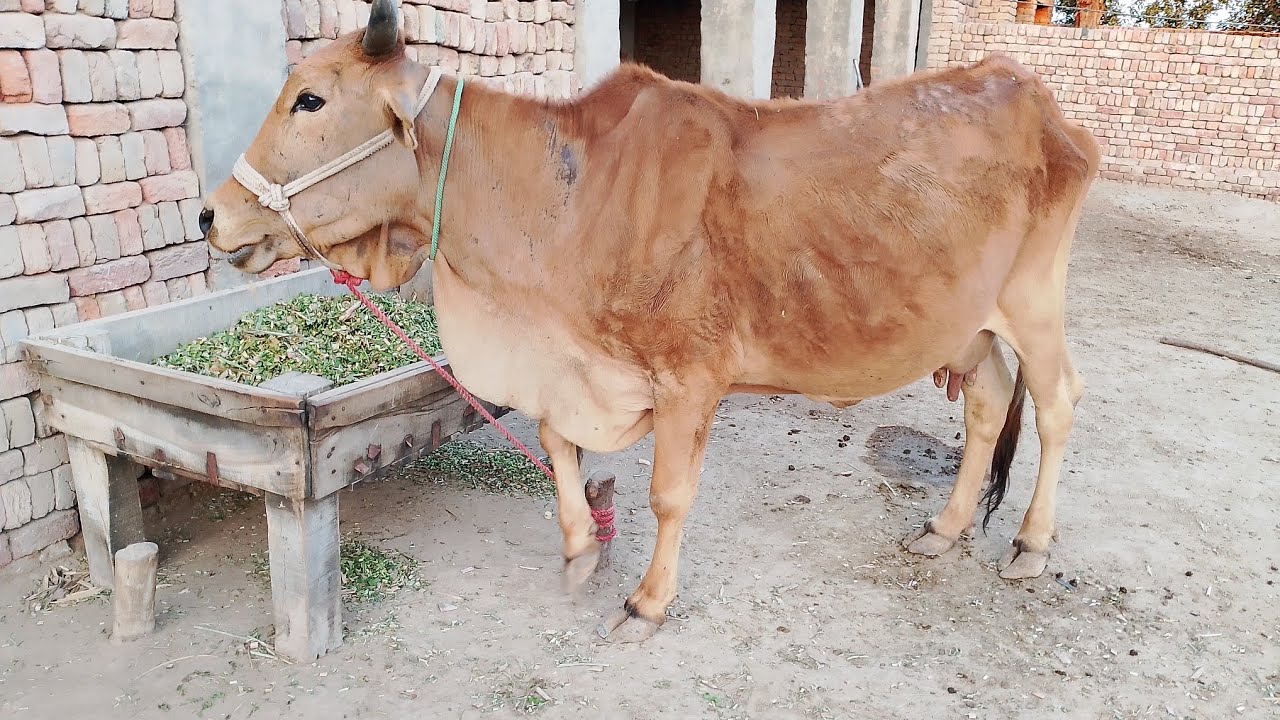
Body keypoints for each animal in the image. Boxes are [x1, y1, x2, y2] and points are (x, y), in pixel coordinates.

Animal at [201, 0, 1099, 643]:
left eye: (310, 98)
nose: (213, 215)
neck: (567, 197)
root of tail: (1037, 96)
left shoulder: (689, 378)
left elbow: (670, 494)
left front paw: (646, 603)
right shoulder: (568, 368)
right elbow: (558, 444)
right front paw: (581, 549)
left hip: (1034, 304)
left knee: (1056, 406)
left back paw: (1030, 546)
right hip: (969, 327)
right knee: (988, 407)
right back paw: (944, 528)